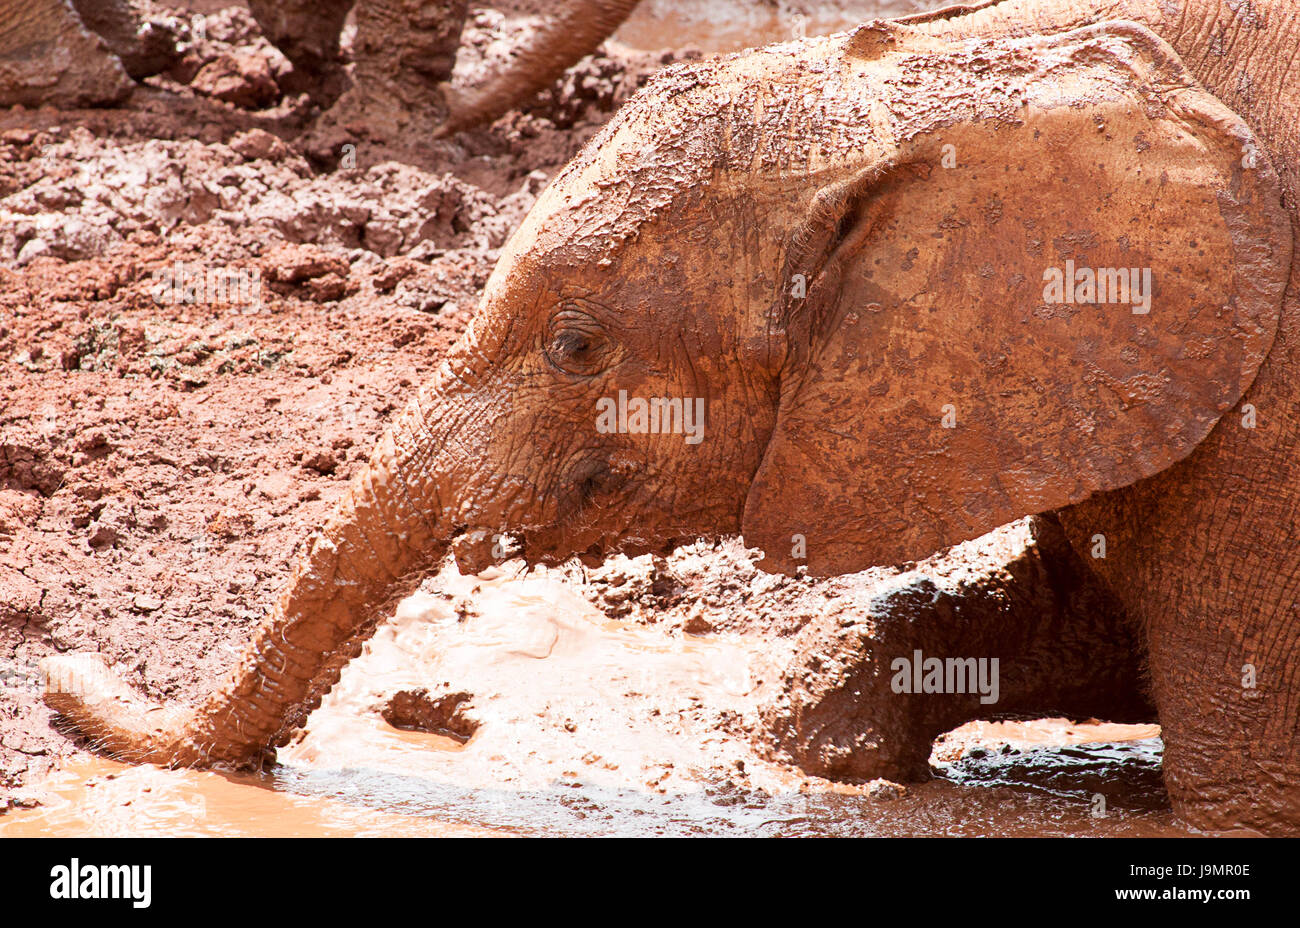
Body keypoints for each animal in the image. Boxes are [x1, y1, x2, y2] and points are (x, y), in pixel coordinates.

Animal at [43, 0, 1300, 835]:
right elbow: (1070, 622)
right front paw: (840, 732)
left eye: (575, 347)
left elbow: (1234, 789)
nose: (62, 667)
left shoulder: (1264, 437)